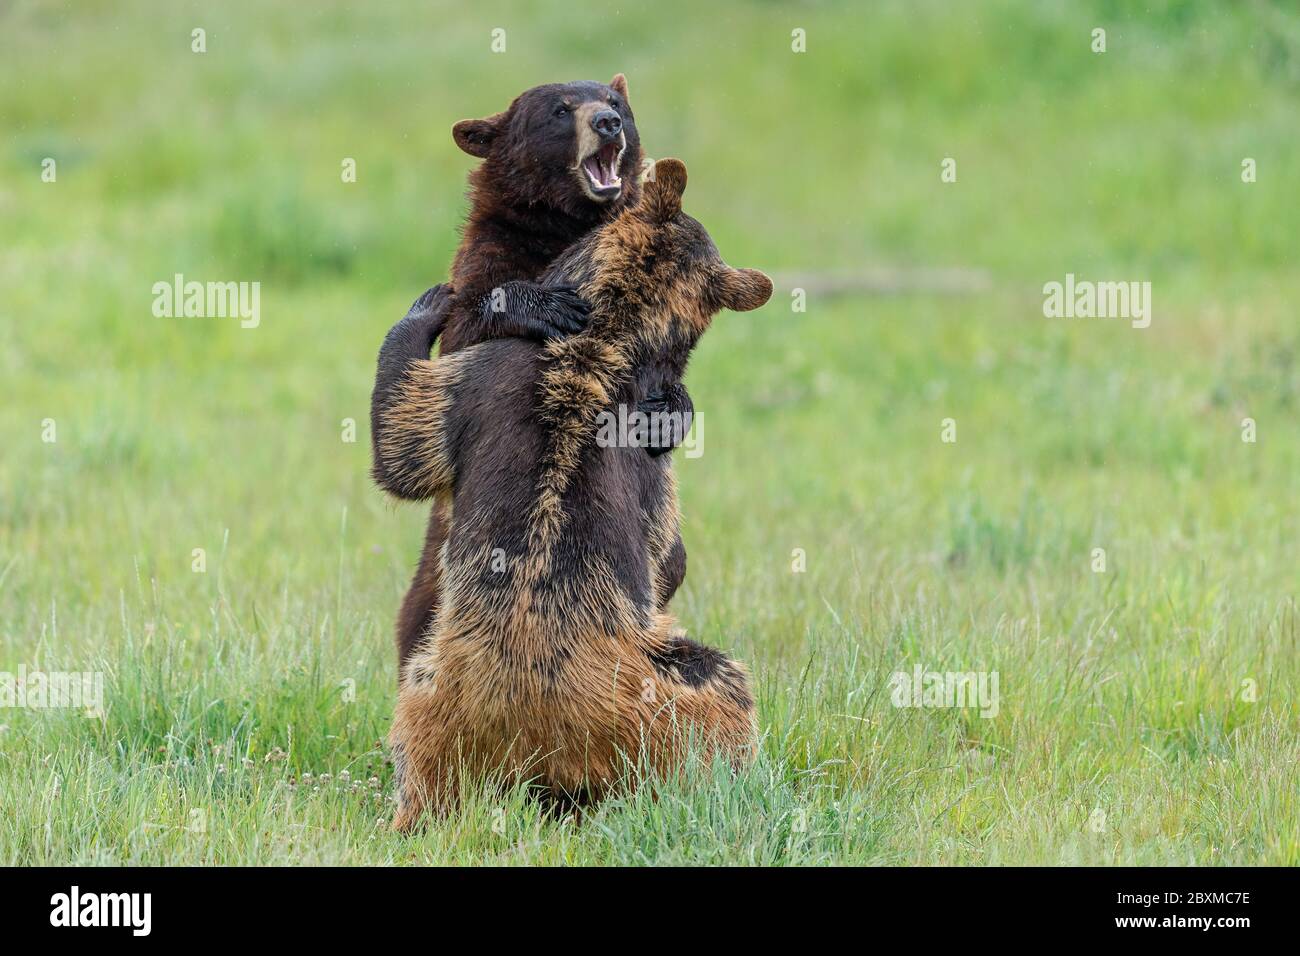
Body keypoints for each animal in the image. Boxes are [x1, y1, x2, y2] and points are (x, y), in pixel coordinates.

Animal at [371, 75, 694, 674]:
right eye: (560, 110)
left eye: (614, 102)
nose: (608, 123)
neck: (563, 228)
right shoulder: (488, 260)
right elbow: (471, 322)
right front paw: (551, 306)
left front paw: (668, 410)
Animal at [371, 159, 772, 828]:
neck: (606, 331)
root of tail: (539, 742)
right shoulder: (653, 471)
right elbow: (668, 550)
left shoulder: (469, 384)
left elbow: (400, 445)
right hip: (672, 691)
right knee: (724, 684)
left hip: (428, 704)